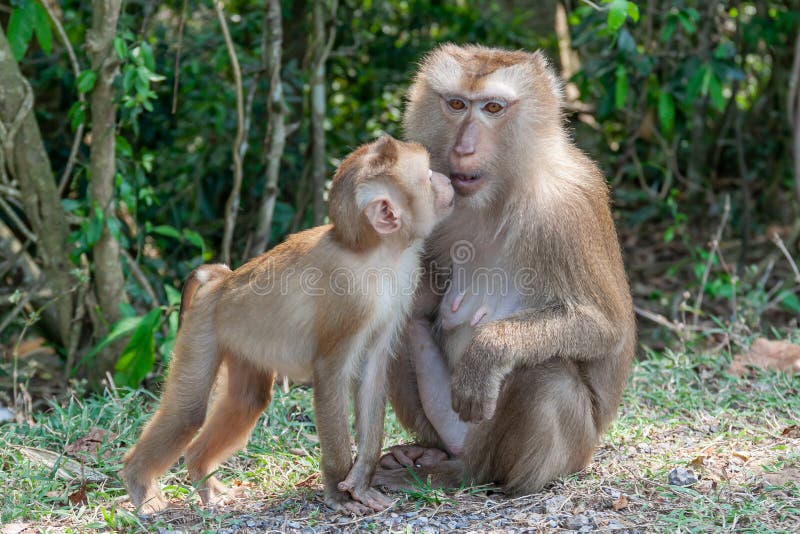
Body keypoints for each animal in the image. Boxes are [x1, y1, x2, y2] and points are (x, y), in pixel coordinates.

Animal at [120, 135, 455, 515]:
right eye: (428, 176)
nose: (446, 180)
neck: (377, 253)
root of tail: (223, 283)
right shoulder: (350, 300)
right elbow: (330, 374)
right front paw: (339, 491)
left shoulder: (395, 295)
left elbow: (372, 373)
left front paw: (362, 480)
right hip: (202, 329)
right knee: (186, 415)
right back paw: (140, 482)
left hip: (242, 344)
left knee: (247, 401)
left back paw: (201, 471)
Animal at [372, 44, 636, 495]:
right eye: (457, 104)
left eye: (493, 107)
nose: (463, 149)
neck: (500, 194)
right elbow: (416, 299)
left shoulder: (567, 206)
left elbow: (604, 325)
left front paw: (489, 350)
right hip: (450, 424)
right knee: (404, 322)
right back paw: (430, 453)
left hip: (563, 451)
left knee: (546, 374)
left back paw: (473, 476)